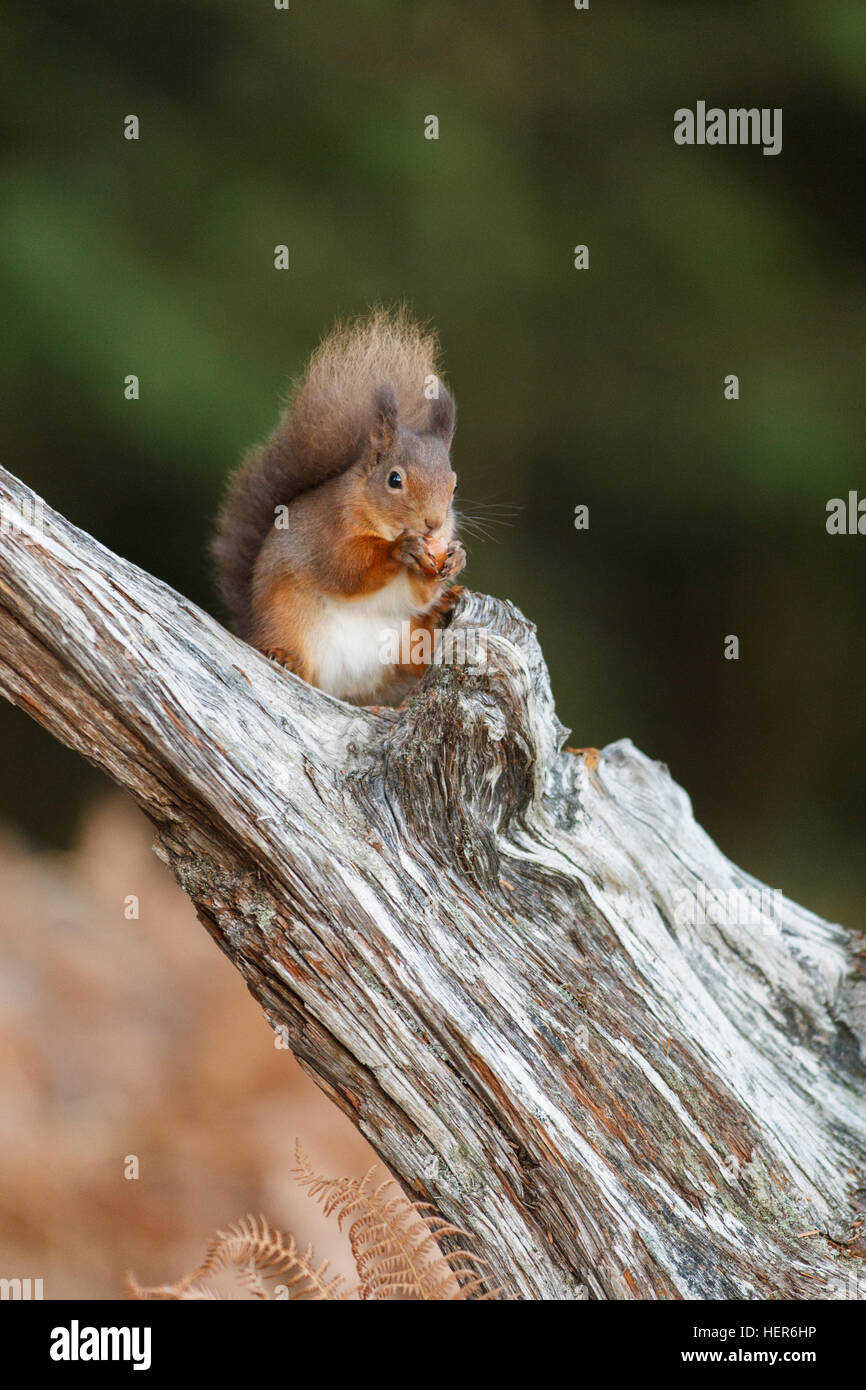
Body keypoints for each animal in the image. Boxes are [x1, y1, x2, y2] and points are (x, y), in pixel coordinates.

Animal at [212, 307, 466, 706]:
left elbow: (418, 593)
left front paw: (455, 558)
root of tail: (342, 689)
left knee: (412, 662)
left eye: (454, 485)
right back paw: (283, 656)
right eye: (395, 480)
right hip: (285, 617)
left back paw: (439, 613)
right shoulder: (329, 531)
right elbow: (345, 569)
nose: (434, 524)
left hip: (399, 643)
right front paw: (399, 549)